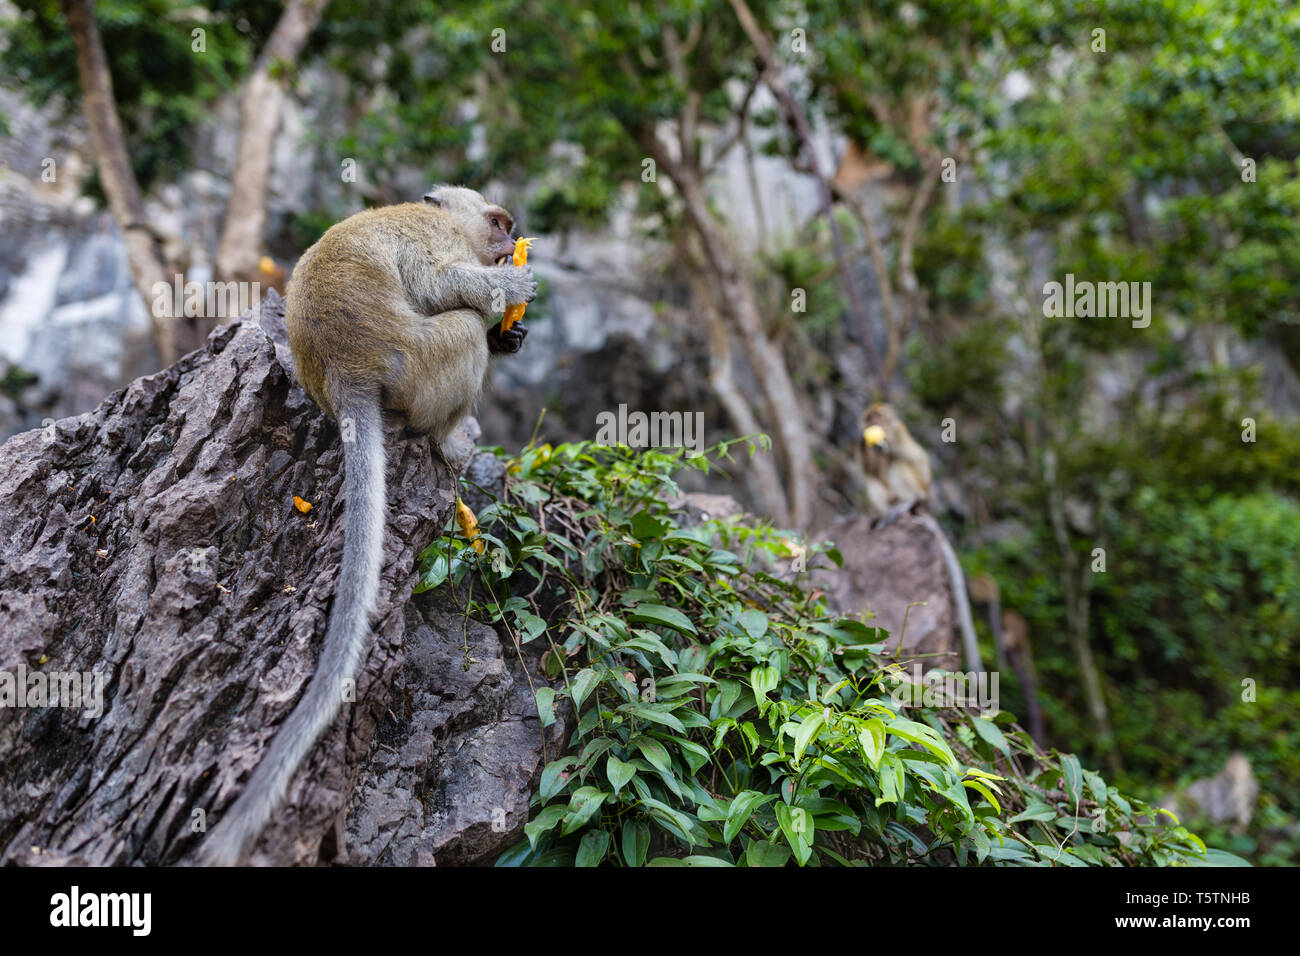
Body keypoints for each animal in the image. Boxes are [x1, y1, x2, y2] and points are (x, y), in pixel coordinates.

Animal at [198, 185, 535, 866]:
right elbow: (446, 285)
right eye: (498, 222)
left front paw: (512, 333)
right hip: (423, 367)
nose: (508, 239)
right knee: (460, 327)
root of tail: (345, 372)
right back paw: (450, 440)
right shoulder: (437, 238)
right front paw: (510, 286)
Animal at [856, 403, 982, 673]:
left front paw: (885, 445)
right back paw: (883, 517)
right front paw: (869, 445)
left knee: (899, 464)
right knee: (873, 477)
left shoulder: (899, 432)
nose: (874, 425)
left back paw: (905, 504)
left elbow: (916, 459)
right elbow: (866, 467)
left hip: (920, 492)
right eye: (870, 418)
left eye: (879, 417)